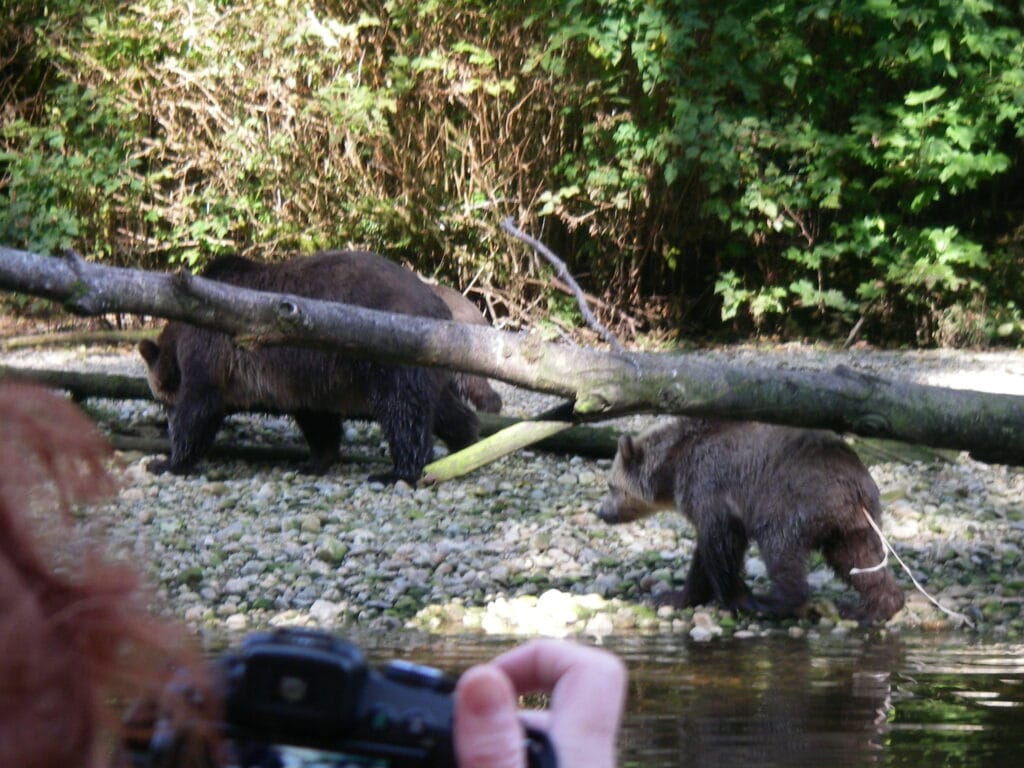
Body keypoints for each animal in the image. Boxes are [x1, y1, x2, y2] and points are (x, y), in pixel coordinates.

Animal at [138, 250, 479, 483]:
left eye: (163, 399)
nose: (166, 422)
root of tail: (438, 306)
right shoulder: (304, 378)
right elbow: (317, 420)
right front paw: (313, 462)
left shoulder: (212, 354)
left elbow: (199, 409)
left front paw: (166, 461)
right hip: (429, 356)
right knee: (442, 407)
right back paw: (465, 443)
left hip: (391, 349)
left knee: (403, 412)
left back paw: (398, 472)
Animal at [596, 417, 905, 623]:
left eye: (611, 486)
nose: (601, 512)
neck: (672, 468)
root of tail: (854, 482)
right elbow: (706, 552)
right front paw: (675, 595)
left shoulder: (710, 485)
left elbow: (720, 544)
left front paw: (735, 596)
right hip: (852, 525)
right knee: (861, 561)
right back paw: (871, 607)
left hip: (791, 501)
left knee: (781, 550)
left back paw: (771, 601)